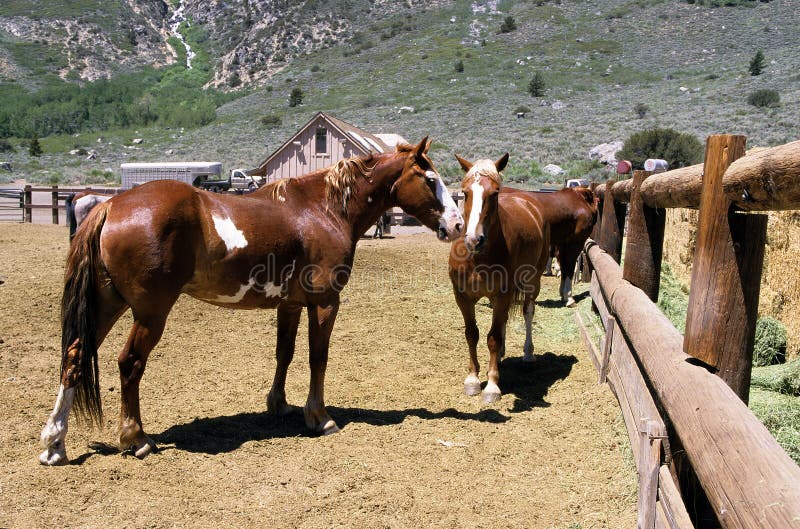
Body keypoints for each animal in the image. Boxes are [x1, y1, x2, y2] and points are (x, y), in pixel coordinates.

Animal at [39, 137, 464, 465]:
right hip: (150, 313)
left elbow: (285, 353)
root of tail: (110, 205)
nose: (458, 224)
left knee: (74, 357)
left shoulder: (290, 305)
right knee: (129, 364)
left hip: (107, 305)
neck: (322, 210)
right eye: (430, 179)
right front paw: (319, 416)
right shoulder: (326, 302)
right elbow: (318, 357)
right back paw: (135, 438)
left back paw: (54, 443)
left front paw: (279, 404)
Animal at [448, 154, 550, 403]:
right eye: (465, 192)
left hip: (532, 282)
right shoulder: (462, 297)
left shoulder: (503, 294)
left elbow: (493, 337)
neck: (477, 257)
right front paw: (473, 379)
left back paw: (528, 354)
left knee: (528, 312)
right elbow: (472, 334)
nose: (474, 239)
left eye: (494, 193)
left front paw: (492, 386)